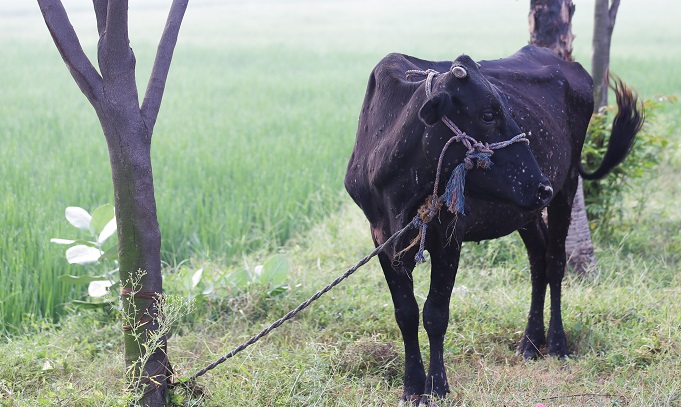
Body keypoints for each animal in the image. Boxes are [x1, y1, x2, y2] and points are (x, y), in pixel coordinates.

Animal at [344, 45, 643, 404]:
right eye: (488, 114)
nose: (541, 186)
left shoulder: (449, 236)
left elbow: (435, 314)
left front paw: (438, 386)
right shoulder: (383, 240)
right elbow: (406, 313)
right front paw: (412, 387)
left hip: (566, 187)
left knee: (555, 262)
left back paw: (557, 343)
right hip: (525, 212)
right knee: (538, 262)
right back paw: (530, 343)